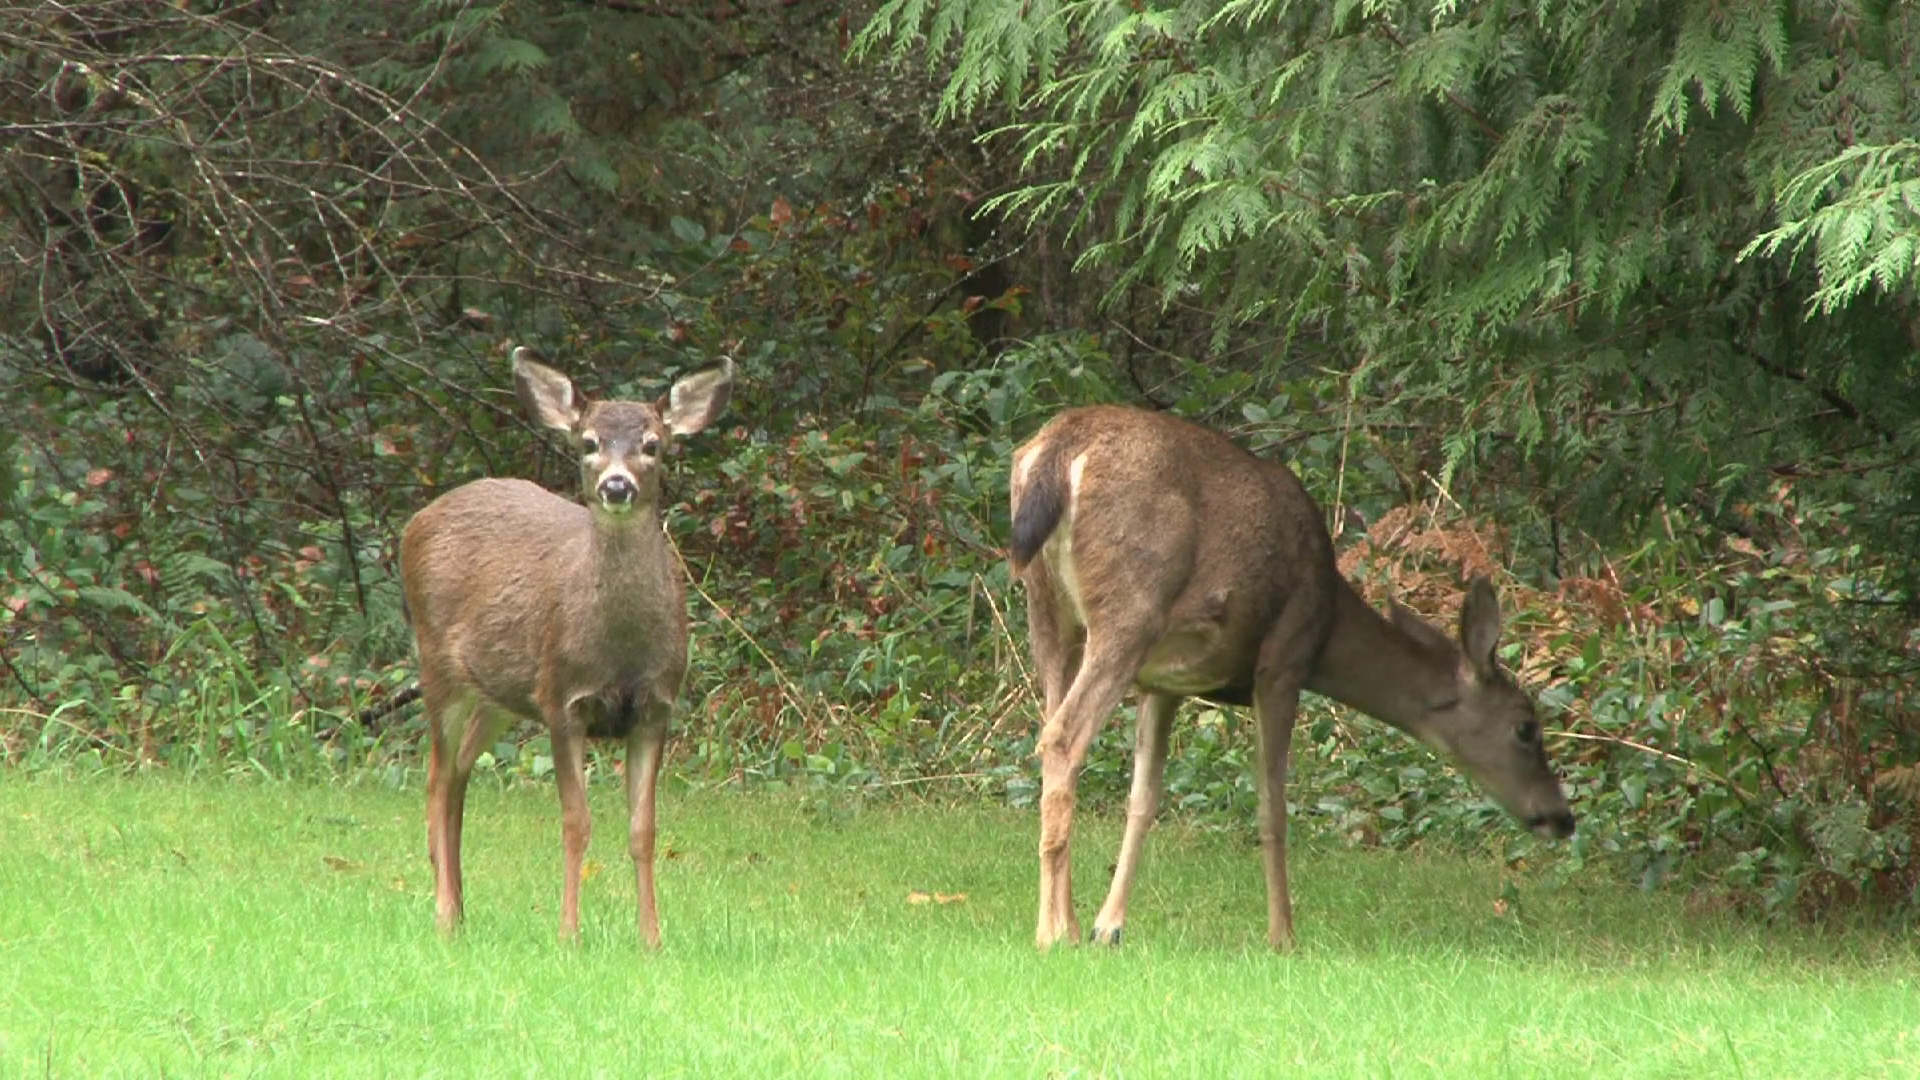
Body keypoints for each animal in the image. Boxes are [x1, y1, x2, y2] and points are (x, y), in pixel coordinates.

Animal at [399, 345, 734, 945]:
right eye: (588, 443)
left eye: (653, 444)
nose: (617, 486)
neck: (620, 653)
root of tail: (414, 523)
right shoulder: (562, 700)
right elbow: (576, 824)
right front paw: (569, 935)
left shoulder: (657, 707)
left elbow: (644, 830)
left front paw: (652, 939)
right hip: (438, 670)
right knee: (436, 780)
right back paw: (443, 914)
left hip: (499, 697)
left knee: (458, 773)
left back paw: (461, 910)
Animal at [1007, 404, 1575, 951]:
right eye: (1526, 727)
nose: (1562, 818)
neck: (1329, 626)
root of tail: (1054, 453)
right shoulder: (1285, 657)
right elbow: (1273, 807)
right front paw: (1283, 935)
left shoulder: (1165, 684)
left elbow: (1143, 800)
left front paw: (1109, 927)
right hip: (1130, 609)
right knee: (1062, 737)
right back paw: (1050, 932)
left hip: (1049, 611)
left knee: (1053, 728)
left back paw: (1069, 927)